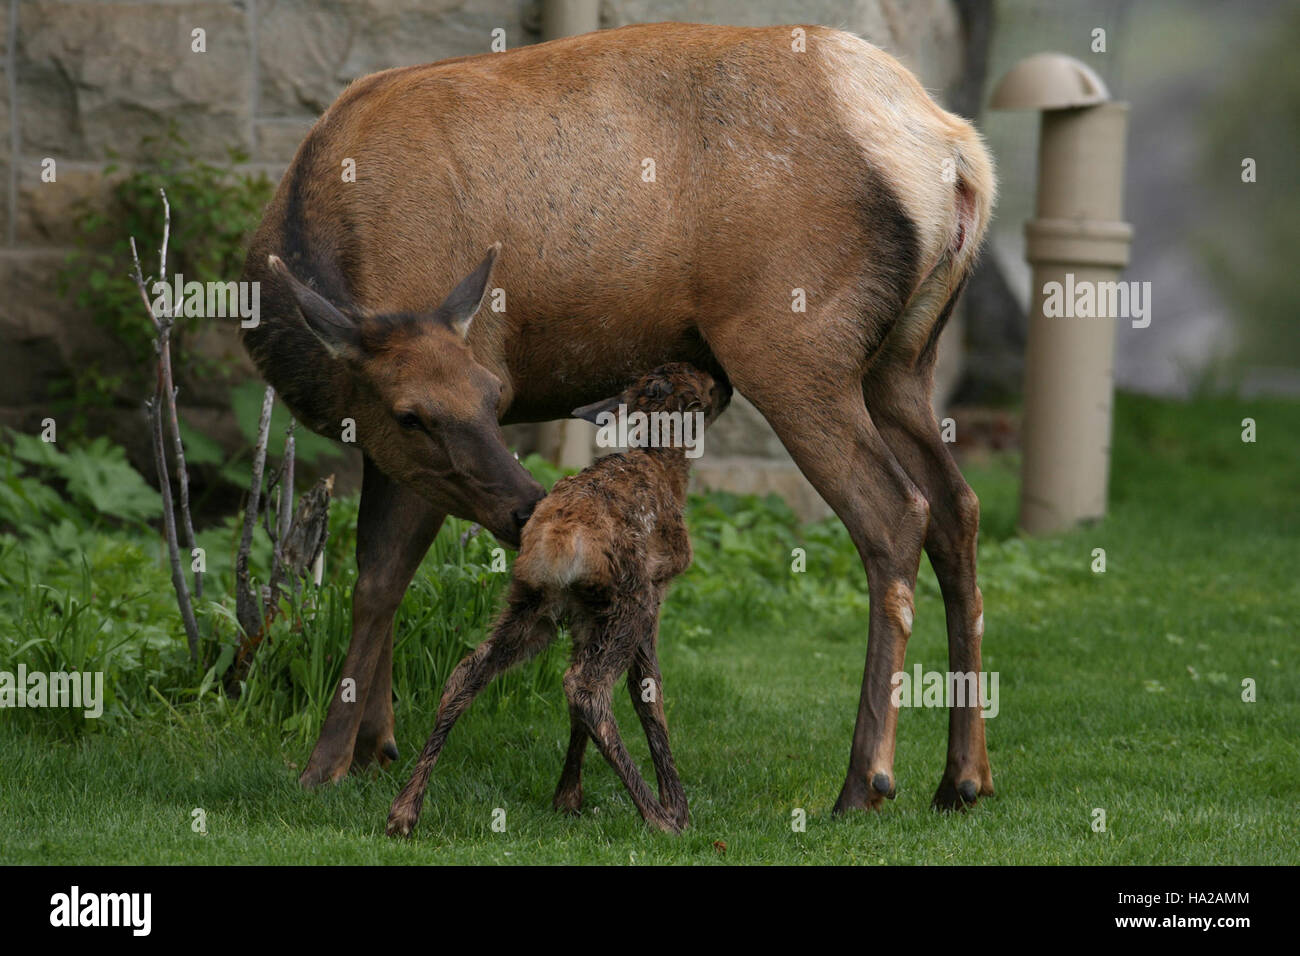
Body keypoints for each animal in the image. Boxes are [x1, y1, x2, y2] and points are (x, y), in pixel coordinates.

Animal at [385, 363, 731, 837]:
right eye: (705, 386)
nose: (728, 384)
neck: (667, 469)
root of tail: (556, 539)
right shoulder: (656, 590)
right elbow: (649, 692)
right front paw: (677, 807)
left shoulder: (584, 616)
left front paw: (567, 798)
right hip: (627, 600)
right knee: (586, 687)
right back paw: (658, 818)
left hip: (530, 604)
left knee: (468, 672)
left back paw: (403, 811)